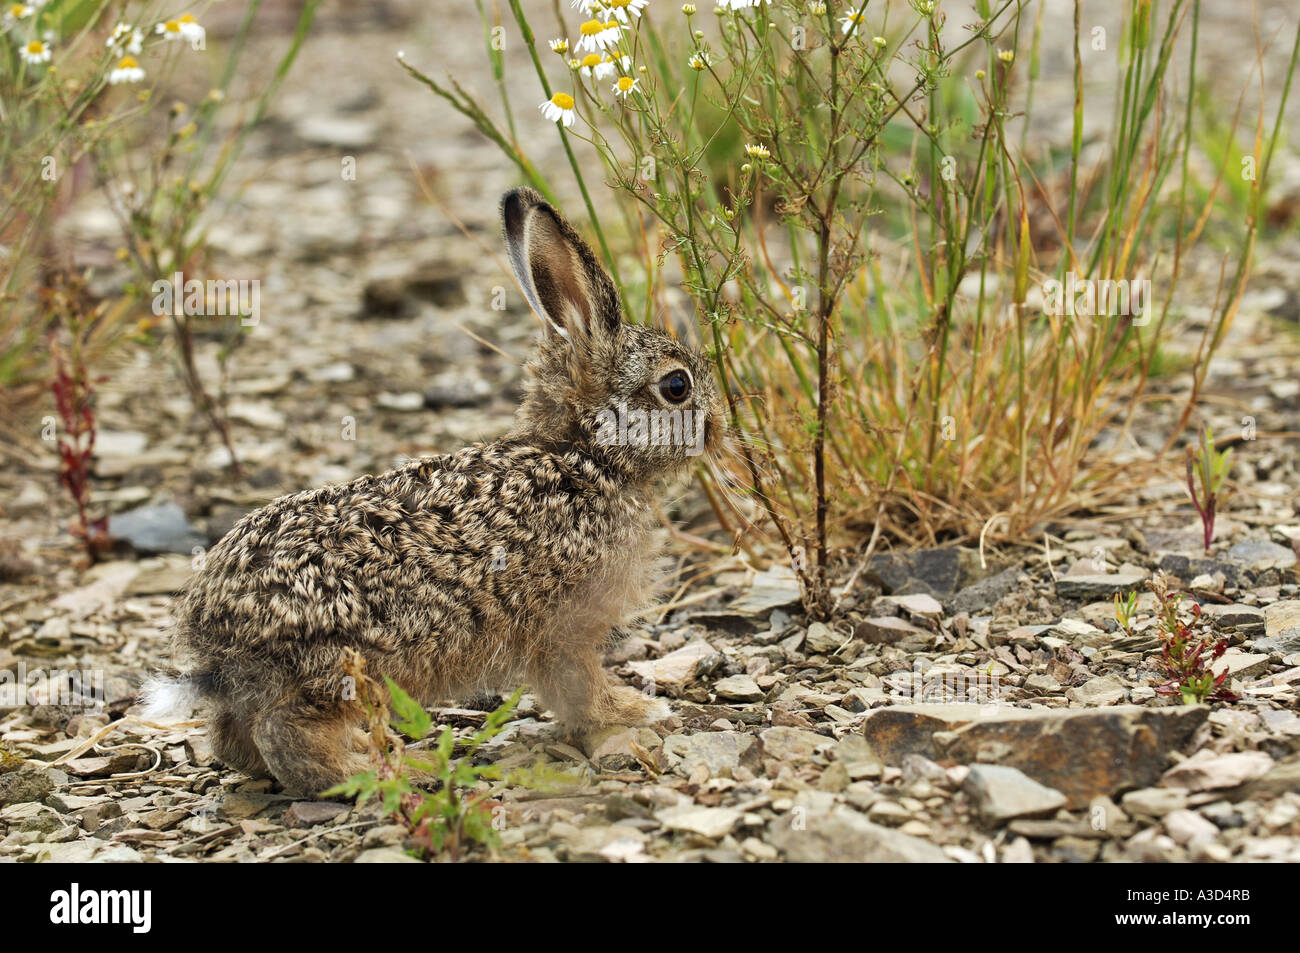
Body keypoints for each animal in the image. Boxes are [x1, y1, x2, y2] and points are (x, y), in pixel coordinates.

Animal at [139, 187, 724, 796]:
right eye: (676, 386)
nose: (719, 426)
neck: (584, 458)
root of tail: (213, 631)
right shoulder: (565, 629)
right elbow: (580, 687)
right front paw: (633, 712)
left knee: (232, 739)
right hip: (337, 669)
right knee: (287, 737)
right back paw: (379, 772)